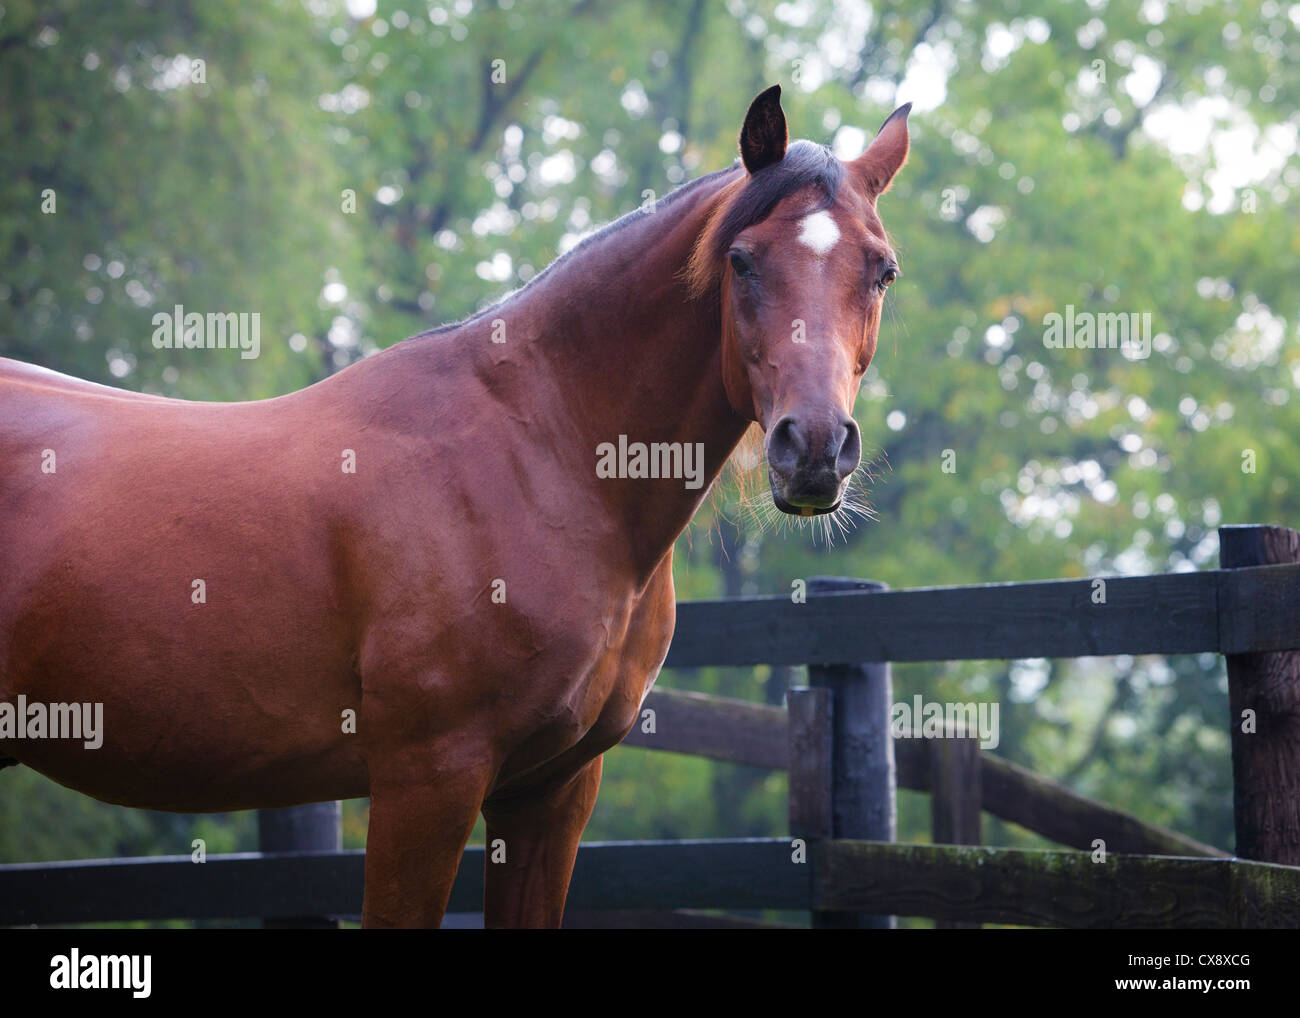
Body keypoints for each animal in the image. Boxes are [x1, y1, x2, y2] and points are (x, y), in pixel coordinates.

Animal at [0, 85, 909, 927]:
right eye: (742, 262)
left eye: (882, 270)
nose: (814, 447)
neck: (544, 453)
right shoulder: (428, 779)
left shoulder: (551, 792)